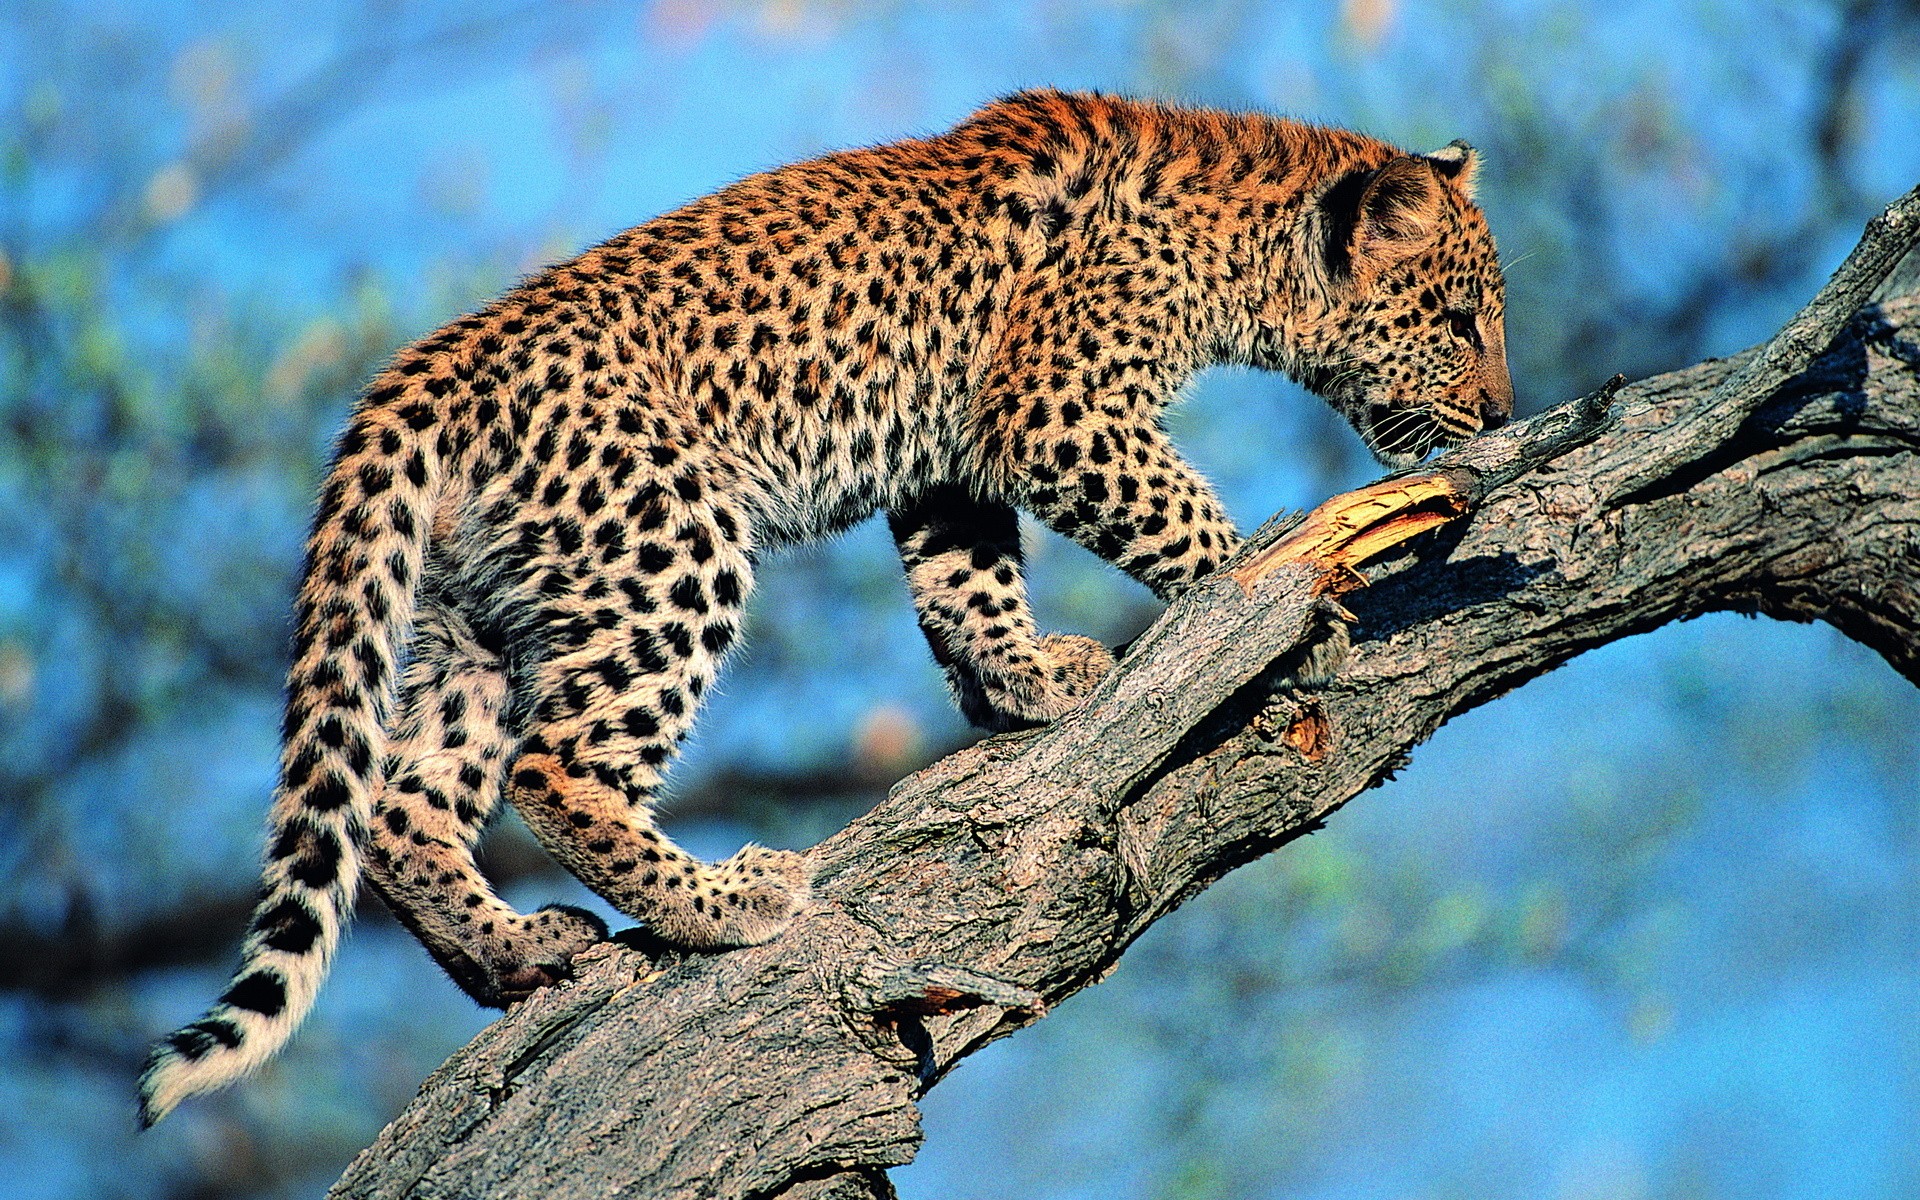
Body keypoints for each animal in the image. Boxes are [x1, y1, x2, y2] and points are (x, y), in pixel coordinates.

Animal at [139, 88, 1512, 1125]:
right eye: (1455, 322)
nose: (1502, 411)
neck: (1242, 251)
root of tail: (427, 370)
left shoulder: (955, 460)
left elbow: (967, 582)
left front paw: (1027, 682)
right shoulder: (1059, 410)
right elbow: (1180, 519)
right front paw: (1289, 599)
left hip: (471, 618)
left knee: (406, 803)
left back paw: (519, 953)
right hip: (669, 536)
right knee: (556, 764)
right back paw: (727, 905)